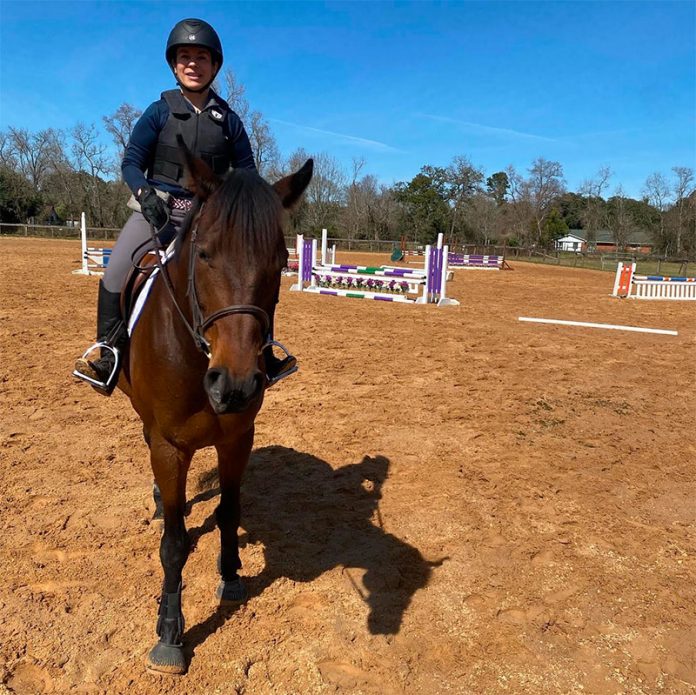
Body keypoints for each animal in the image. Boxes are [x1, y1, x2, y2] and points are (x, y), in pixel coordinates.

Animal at [117, 142, 312, 674]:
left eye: (281, 261)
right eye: (203, 254)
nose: (236, 385)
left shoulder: (237, 440)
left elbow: (228, 511)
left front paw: (231, 577)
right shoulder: (168, 448)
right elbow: (174, 545)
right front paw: (169, 633)